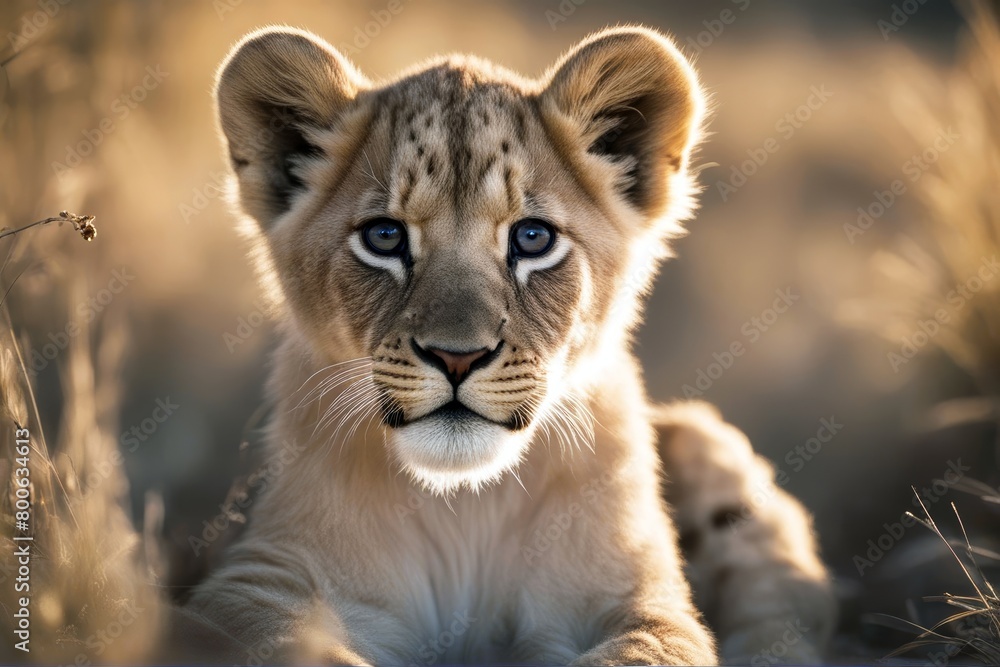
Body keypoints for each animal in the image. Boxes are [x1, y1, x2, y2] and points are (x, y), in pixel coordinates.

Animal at [174, 25, 836, 665]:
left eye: (533, 238)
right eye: (384, 237)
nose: (457, 357)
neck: (467, 506)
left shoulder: (645, 602)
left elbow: (646, 652)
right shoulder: (260, 585)